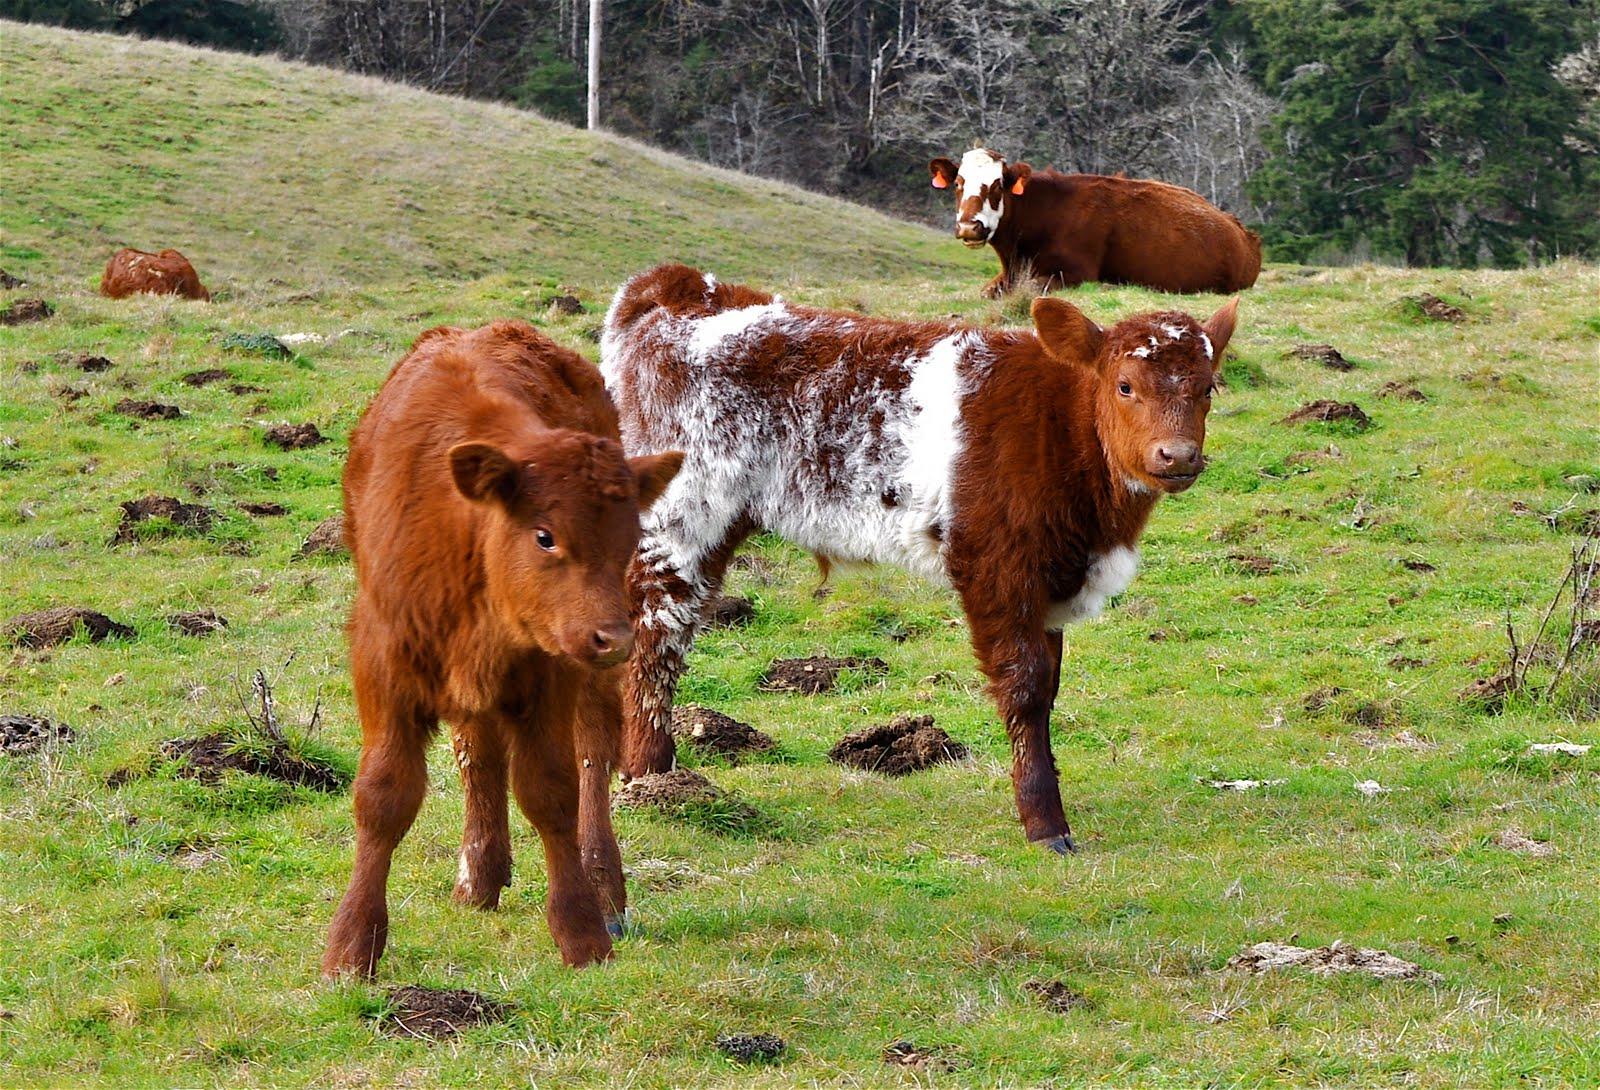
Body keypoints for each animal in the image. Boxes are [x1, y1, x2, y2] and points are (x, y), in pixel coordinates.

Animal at [321, 319, 682, 978]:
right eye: (544, 535)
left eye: (629, 536)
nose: (612, 638)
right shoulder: (384, 667)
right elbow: (385, 796)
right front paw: (352, 946)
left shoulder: (550, 672)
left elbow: (551, 791)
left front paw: (582, 933)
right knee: (478, 755)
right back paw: (480, 875)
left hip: (587, 673)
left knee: (593, 752)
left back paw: (603, 884)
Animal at [601, 264, 1237, 853]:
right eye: (1125, 385)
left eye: (1208, 387)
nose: (1178, 455)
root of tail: (680, 290)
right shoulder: (998, 568)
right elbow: (1027, 688)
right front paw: (1044, 821)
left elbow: (1051, 686)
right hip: (682, 517)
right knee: (656, 638)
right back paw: (653, 782)